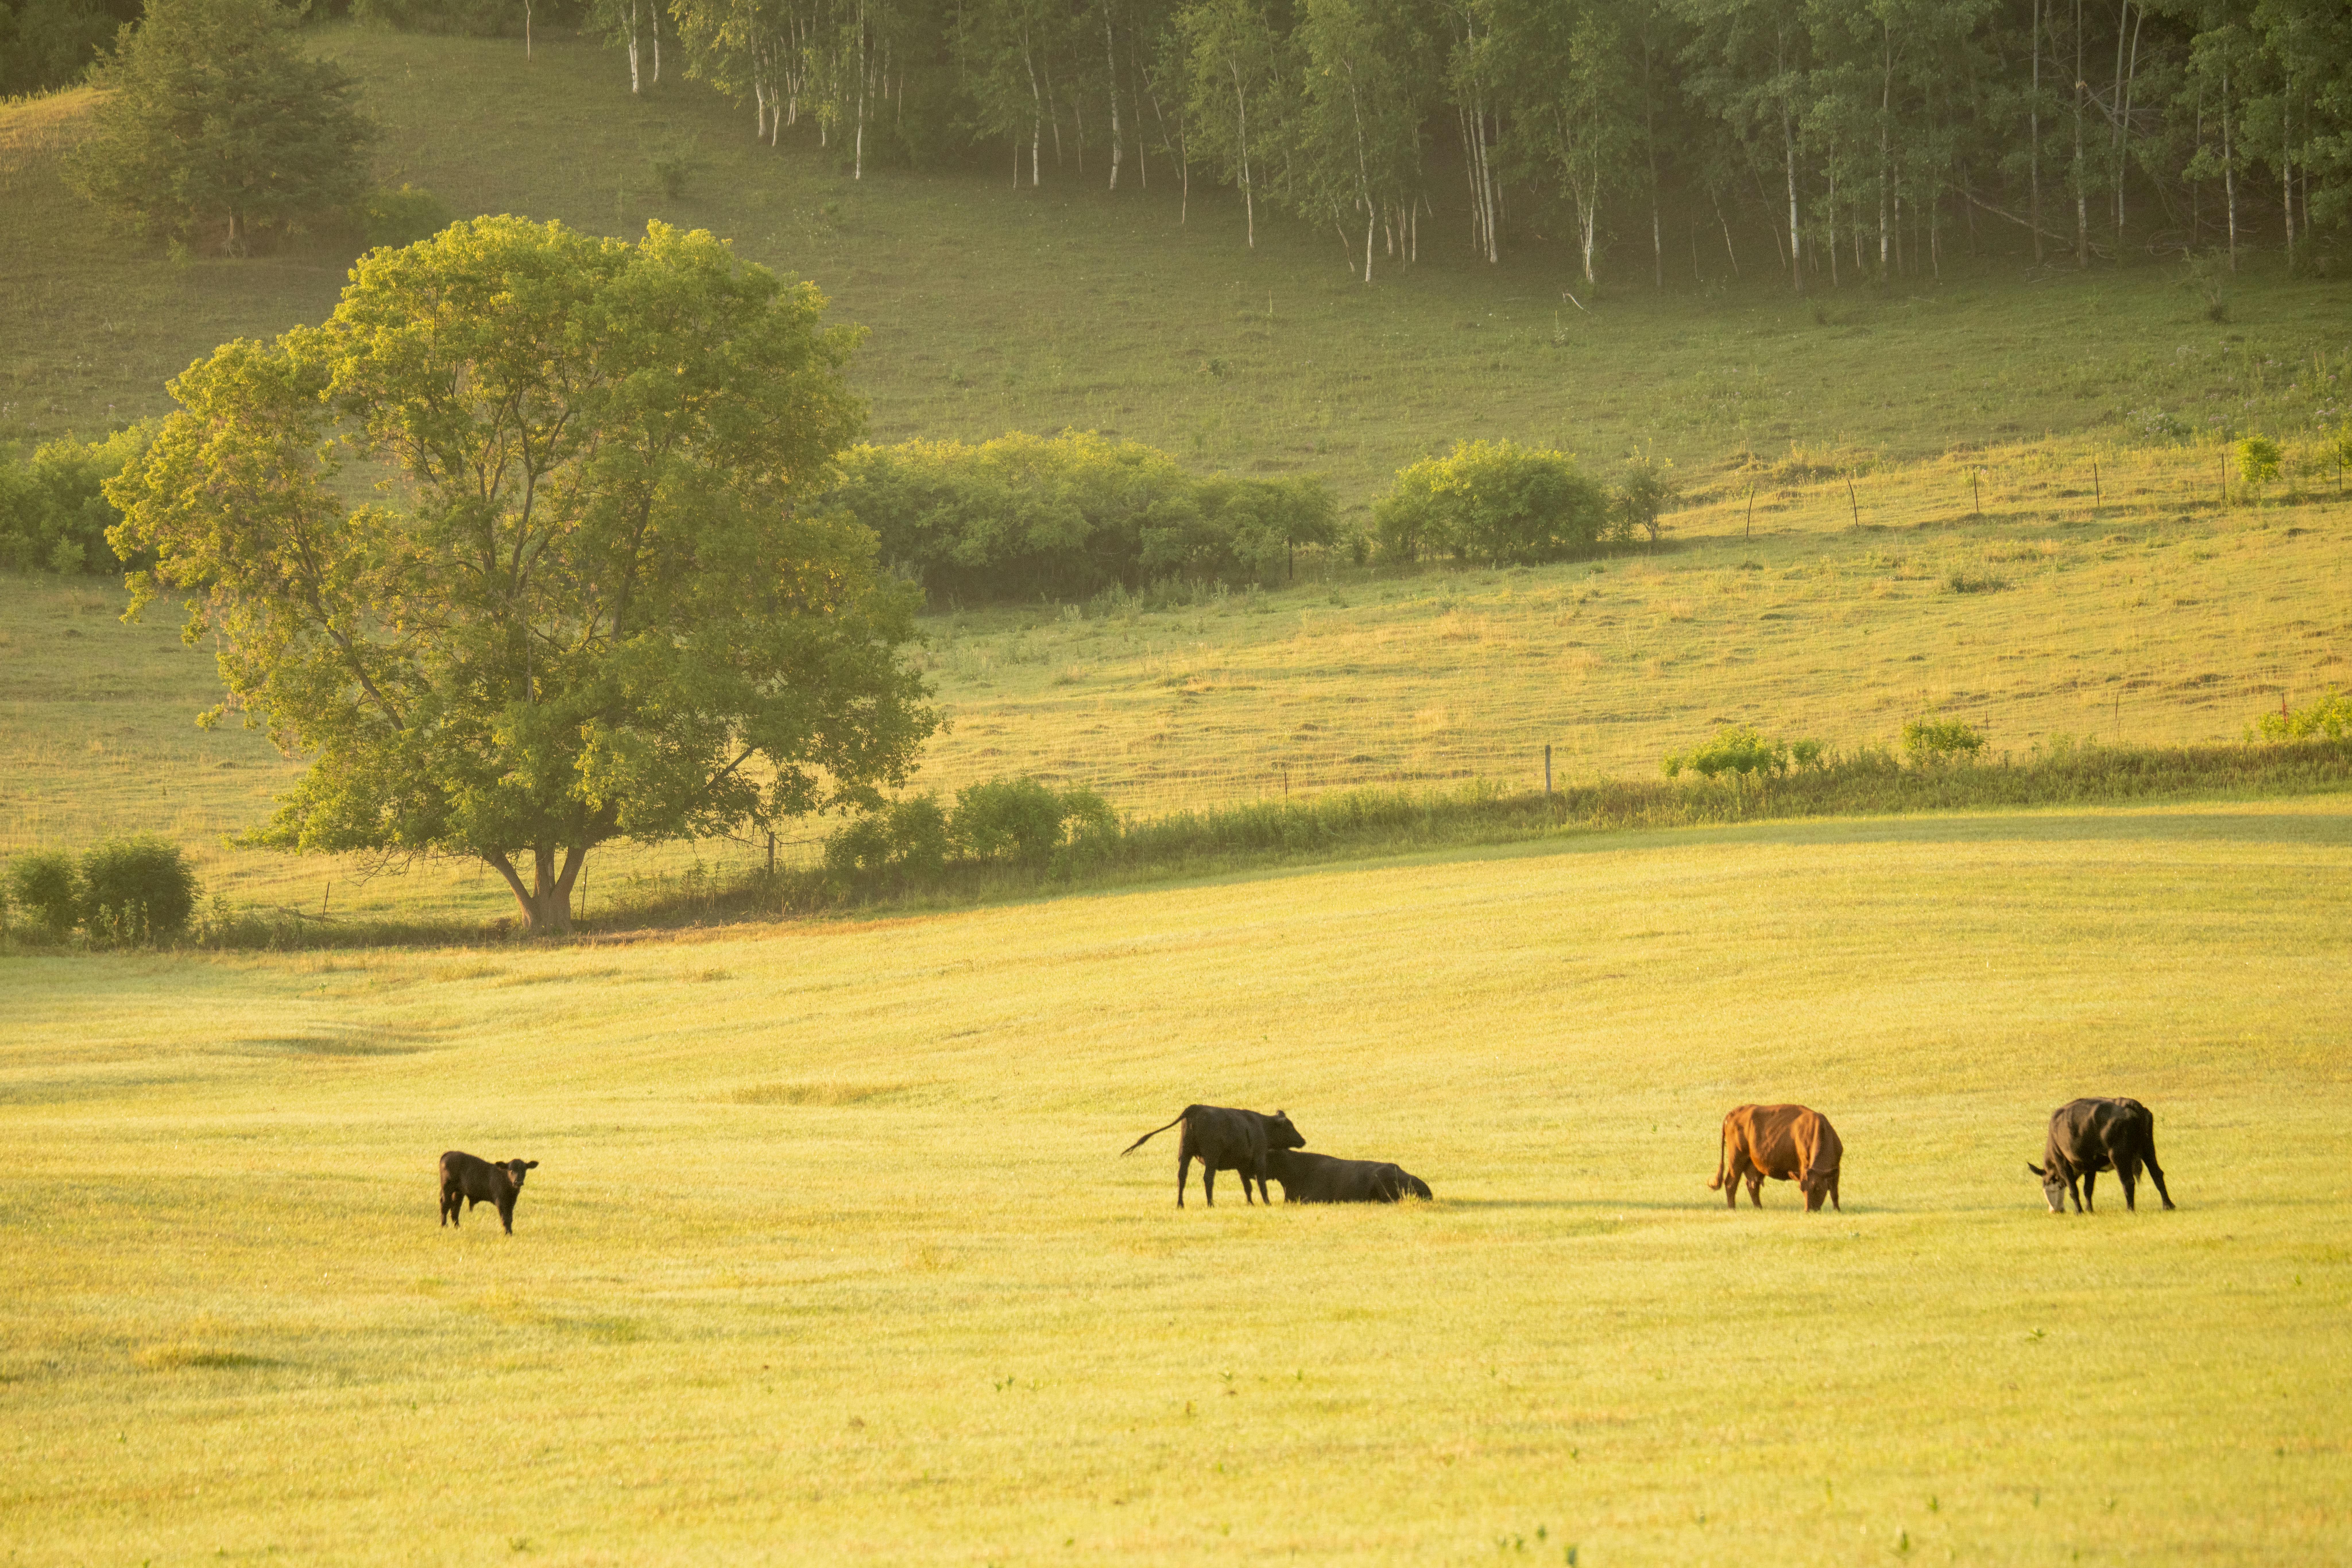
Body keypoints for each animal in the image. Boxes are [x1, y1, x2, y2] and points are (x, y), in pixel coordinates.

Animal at [439, 1152, 539, 1234]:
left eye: (524, 1170)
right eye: (511, 1170)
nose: (518, 1182)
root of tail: (449, 1153)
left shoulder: (512, 1202)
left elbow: (510, 1218)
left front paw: (510, 1233)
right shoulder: (500, 1201)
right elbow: (505, 1218)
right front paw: (508, 1234)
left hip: (459, 1192)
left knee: (455, 1208)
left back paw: (458, 1227)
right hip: (447, 1189)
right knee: (445, 1205)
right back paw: (444, 1226)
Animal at [1120, 1106, 1304, 1206]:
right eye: (1290, 1126)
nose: (1303, 1141)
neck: (1262, 1126)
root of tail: (1195, 1108)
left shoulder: (1241, 1166)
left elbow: (1247, 1186)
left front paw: (1250, 1203)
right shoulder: (1259, 1159)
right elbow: (1261, 1184)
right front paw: (1267, 1203)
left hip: (1184, 1153)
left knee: (1182, 1177)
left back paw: (1180, 1205)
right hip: (1211, 1156)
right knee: (1208, 1178)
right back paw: (1210, 1204)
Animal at [1709, 1104, 1842, 1212]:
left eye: (1818, 1188)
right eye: (1801, 1188)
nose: (1808, 1210)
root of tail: (1732, 1114)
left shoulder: (1836, 1169)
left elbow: (1835, 1192)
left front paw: (1837, 1210)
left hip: (1752, 1163)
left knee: (1753, 1185)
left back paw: (1759, 1208)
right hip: (1737, 1158)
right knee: (1731, 1182)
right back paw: (1733, 1209)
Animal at [2028, 1097, 2175, 1214]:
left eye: (2047, 1190)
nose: (2056, 1211)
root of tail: (2127, 1103)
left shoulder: (2062, 1162)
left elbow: (2074, 1190)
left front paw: (2079, 1212)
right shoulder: (2090, 1165)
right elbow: (2088, 1189)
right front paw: (2089, 1210)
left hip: (2118, 1155)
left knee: (2128, 1182)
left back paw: (2130, 1210)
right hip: (2148, 1147)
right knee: (2157, 1174)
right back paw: (2168, 1206)